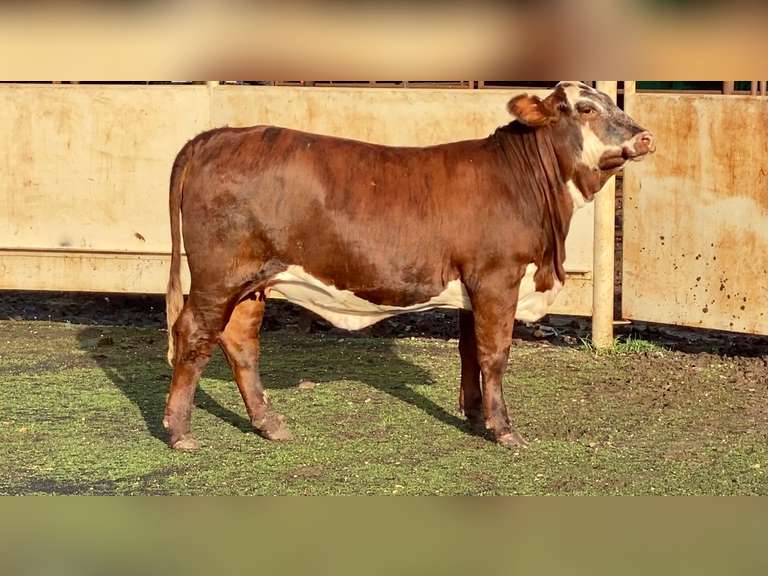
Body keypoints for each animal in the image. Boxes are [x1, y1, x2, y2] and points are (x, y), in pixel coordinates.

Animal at [163, 81, 655, 451]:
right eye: (586, 107)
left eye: (613, 101)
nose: (645, 136)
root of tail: (218, 135)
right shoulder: (497, 278)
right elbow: (495, 353)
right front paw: (503, 429)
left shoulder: (470, 287)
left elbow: (469, 350)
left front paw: (474, 415)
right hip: (218, 276)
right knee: (192, 334)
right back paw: (179, 431)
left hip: (252, 280)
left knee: (240, 343)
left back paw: (270, 424)